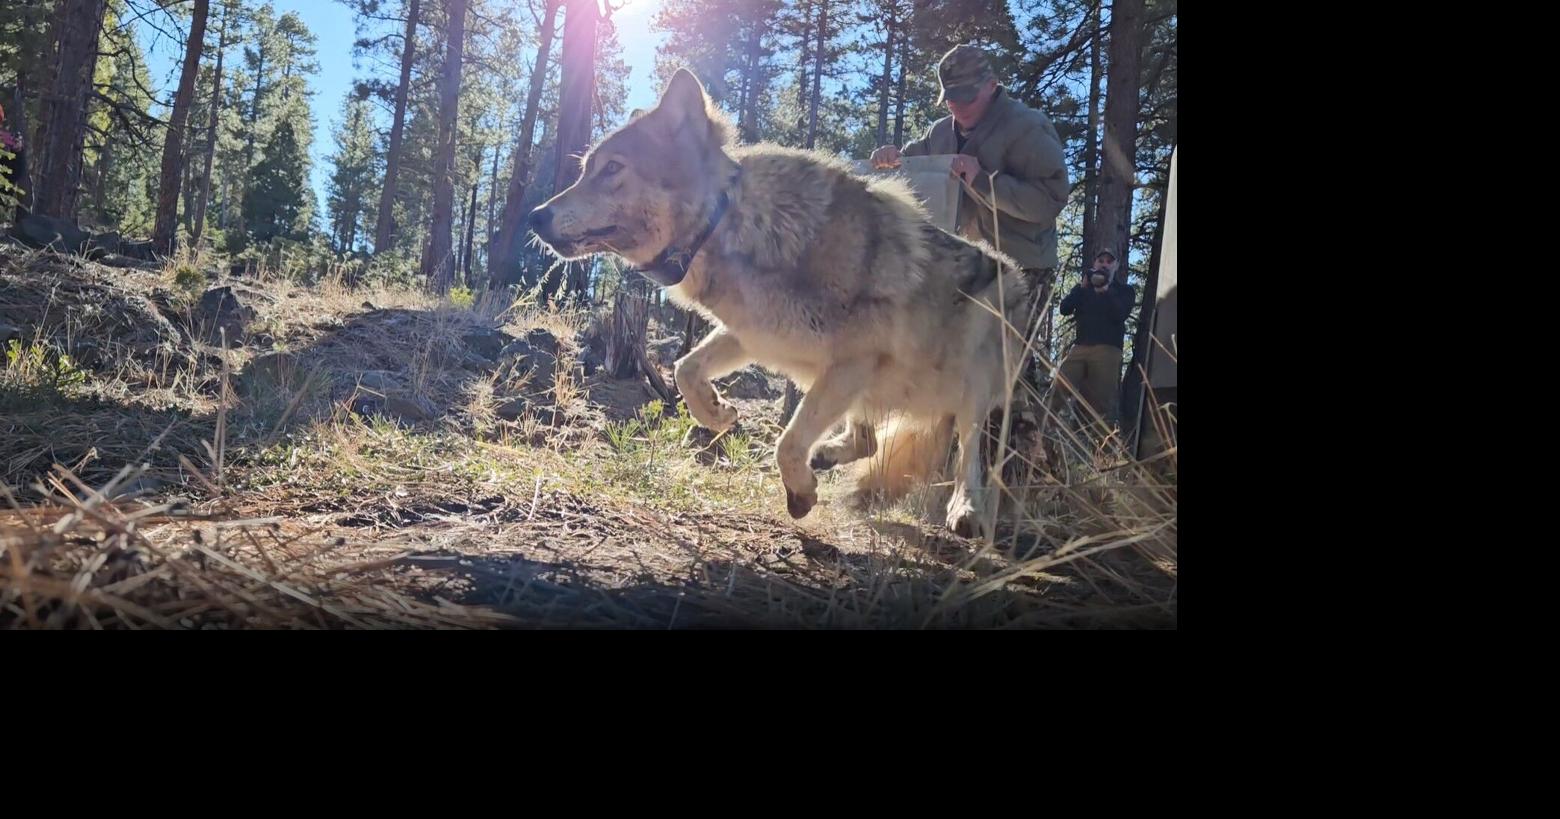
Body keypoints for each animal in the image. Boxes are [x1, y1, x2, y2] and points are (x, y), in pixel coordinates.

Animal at [527, 69, 1032, 537]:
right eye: (585, 168)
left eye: (612, 169)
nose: (535, 216)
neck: (731, 224)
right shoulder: (754, 338)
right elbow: (686, 369)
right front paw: (718, 412)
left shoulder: (850, 362)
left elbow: (786, 442)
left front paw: (801, 492)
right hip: (870, 389)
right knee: (868, 442)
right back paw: (826, 453)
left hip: (971, 374)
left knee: (969, 451)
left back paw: (965, 511)